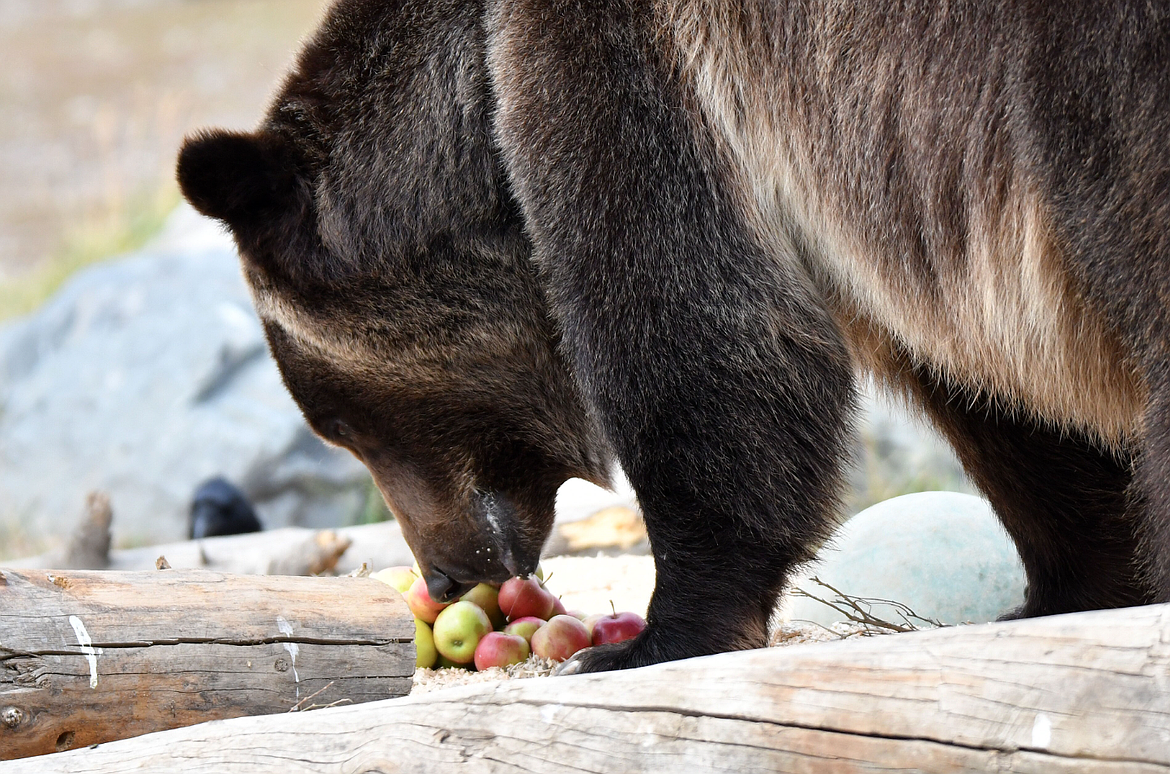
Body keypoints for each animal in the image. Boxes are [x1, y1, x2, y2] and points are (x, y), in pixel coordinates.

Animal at [177, 0, 1170, 673]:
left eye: (342, 426)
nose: (451, 576)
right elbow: (1002, 403)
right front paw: (1066, 591)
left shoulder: (629, 62)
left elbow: (694, 339)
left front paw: (653, 636)